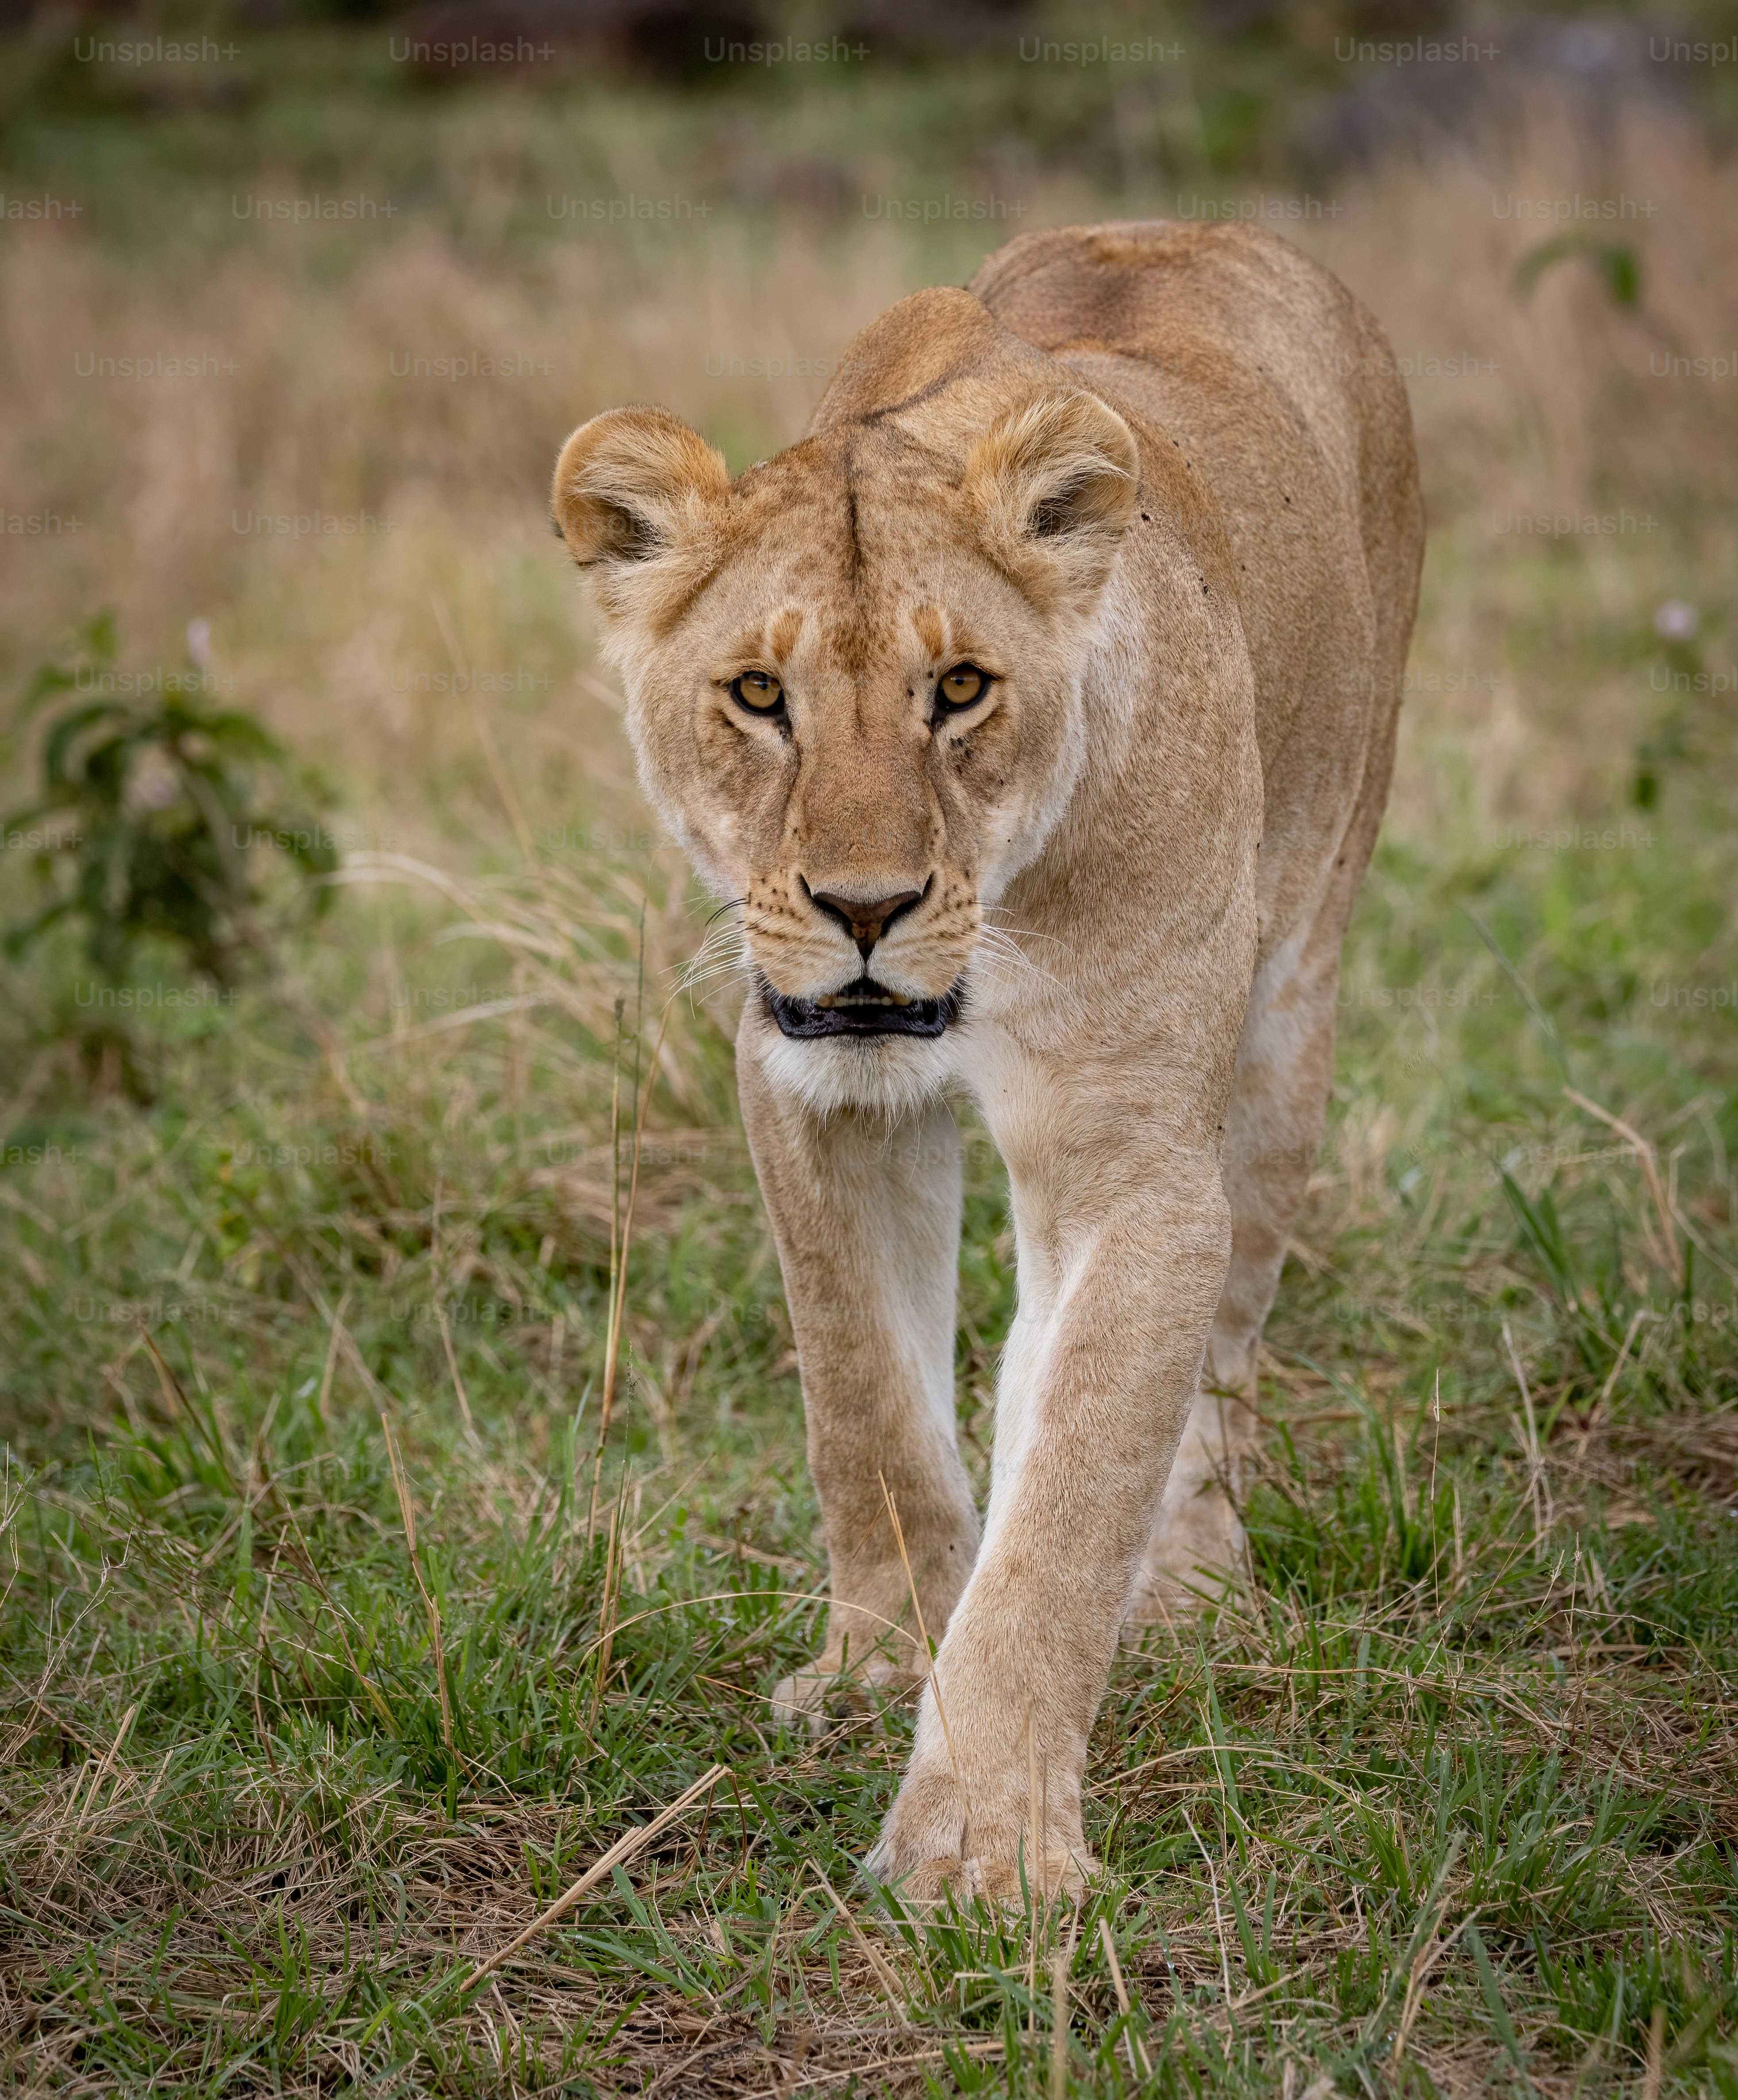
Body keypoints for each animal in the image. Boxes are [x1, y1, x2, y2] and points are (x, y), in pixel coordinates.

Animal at [551, 220, 1423, 1900]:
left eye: (959, 689)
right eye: (756, 695)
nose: (864, 908)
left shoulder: (1127, 1165)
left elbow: (1071, 1494)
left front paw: (984, 1845)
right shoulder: (808, 1095)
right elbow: (866, 1403)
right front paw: (882, 1667)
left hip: (1295, 996)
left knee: (1221, 1347)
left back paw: (1193, 1583)